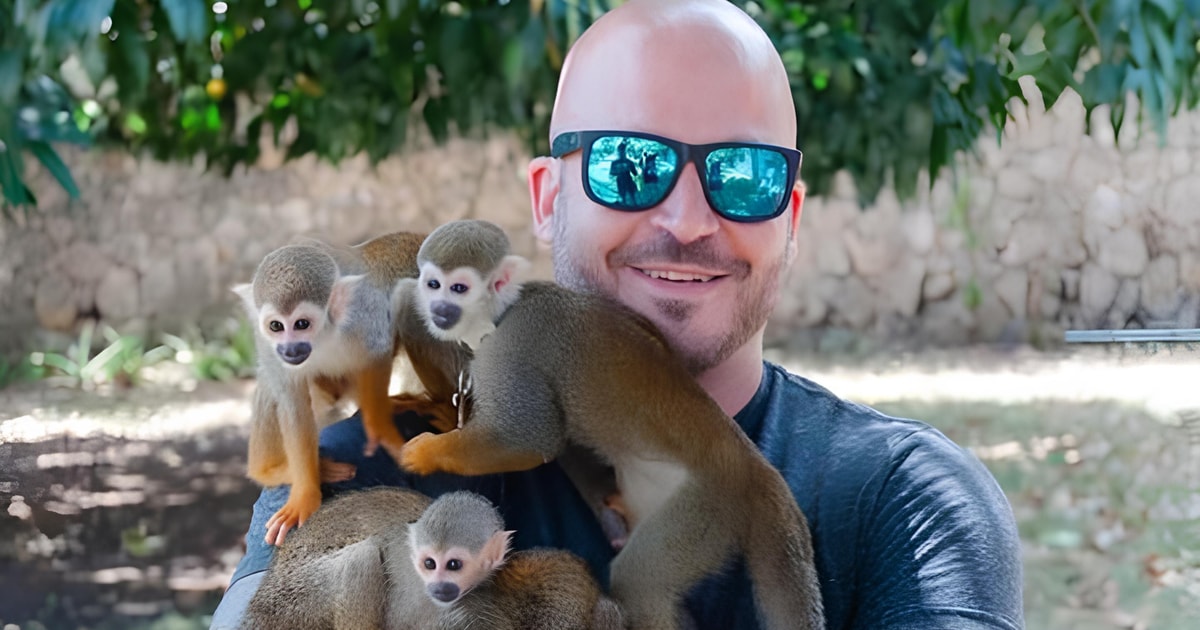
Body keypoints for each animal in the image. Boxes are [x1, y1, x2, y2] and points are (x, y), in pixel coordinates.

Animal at [233, 232, 470, 546]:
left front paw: (379, 428)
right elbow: (292, 401)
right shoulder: (268, 345)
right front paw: (305, 494)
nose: (289, 349)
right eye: (275, 326)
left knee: (411, 305)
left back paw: (444, 409)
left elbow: (377, 351)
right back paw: (271, 470)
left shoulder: (364, 312)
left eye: (302, 324)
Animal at [396, 220, 825, 630]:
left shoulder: (509, 349)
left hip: (707, 507)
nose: (438, 308)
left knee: (639, 583)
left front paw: (428, 451)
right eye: (433, 285)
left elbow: (529, 437)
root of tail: (753, 467)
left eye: (458, 288)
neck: (504, 311)